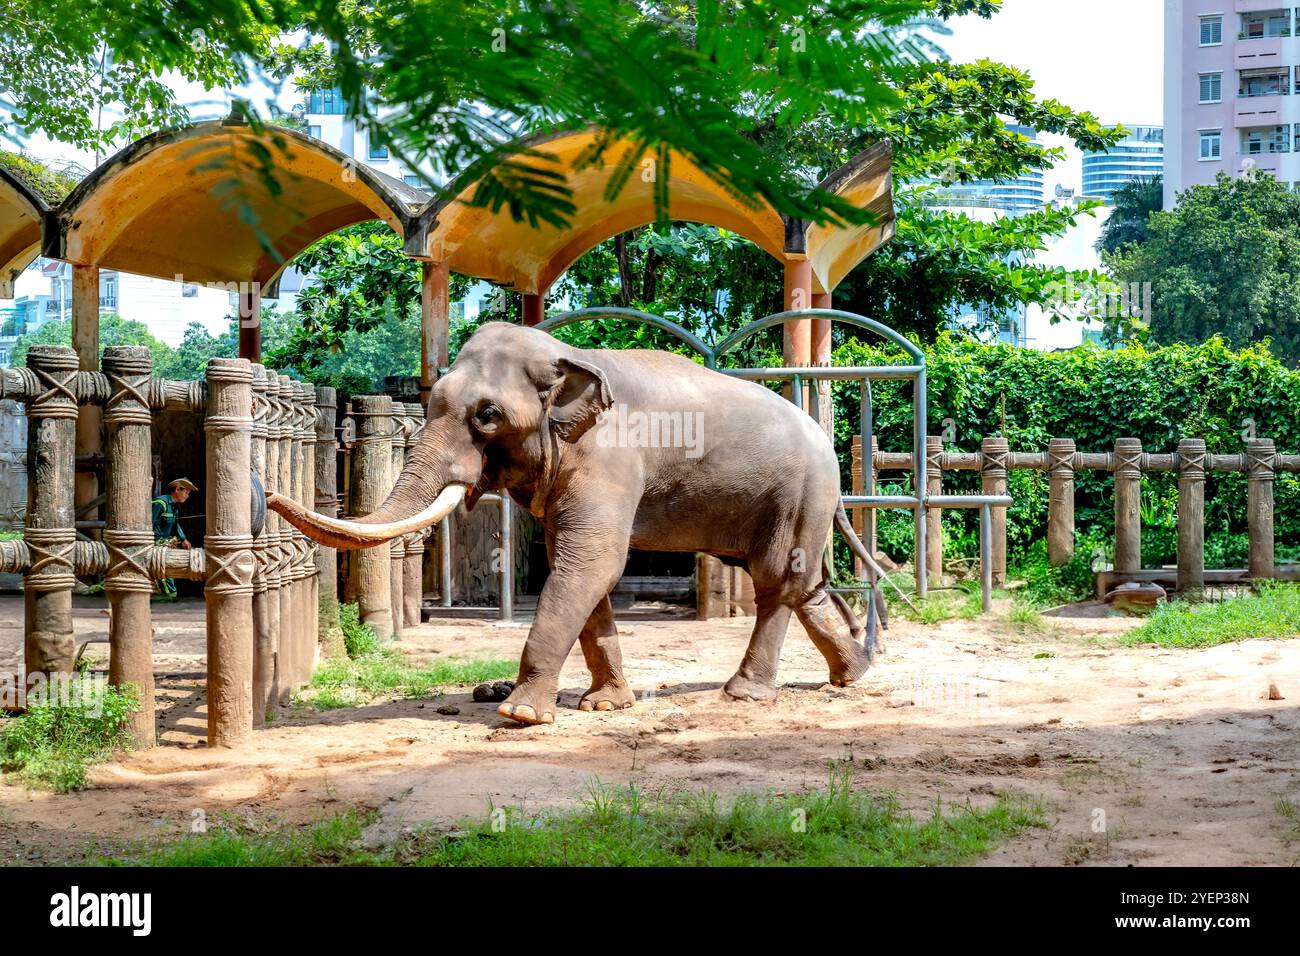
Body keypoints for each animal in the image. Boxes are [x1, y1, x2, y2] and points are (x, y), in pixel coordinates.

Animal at [269, 321, 880, 726]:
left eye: (487, 415)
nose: (269, 494)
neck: (570, 356)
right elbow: (584, 570)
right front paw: (606, 704)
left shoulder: (609, 457)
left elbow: (591, 563)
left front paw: (520, 716)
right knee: (806, 585)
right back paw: (853, 675)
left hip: (800, 493)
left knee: (777, 581)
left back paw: (744, 695)